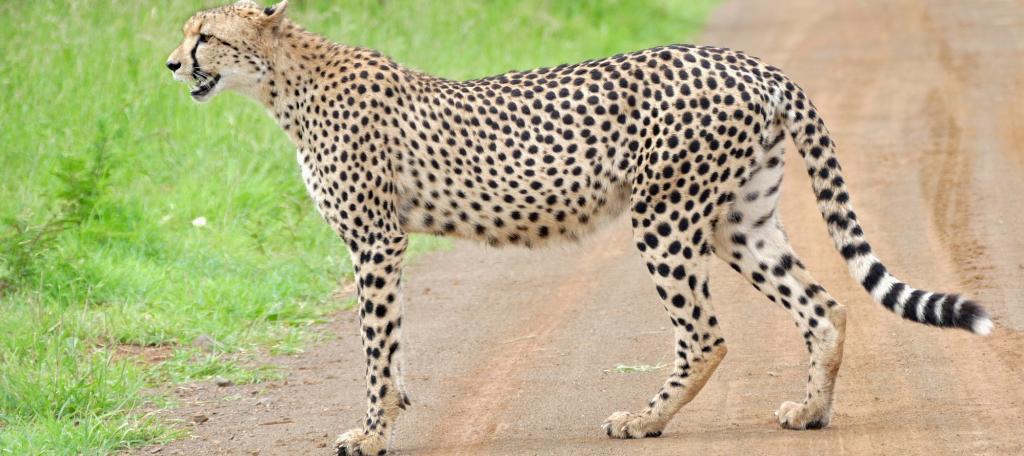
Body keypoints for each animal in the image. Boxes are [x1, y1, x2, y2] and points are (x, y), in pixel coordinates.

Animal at [166, 2, 993, 454]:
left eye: (205, 36)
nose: (173, 64)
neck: (284, 81)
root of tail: (744, 59)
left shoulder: (375, 238)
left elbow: (375, 346)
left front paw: (369, 432)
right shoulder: (384, 243)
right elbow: (390, 341)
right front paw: (391, 414)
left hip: (664, 217)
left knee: (705, 334)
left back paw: (643, 420)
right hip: (739, 218)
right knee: (823, 306)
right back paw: (811, 411)